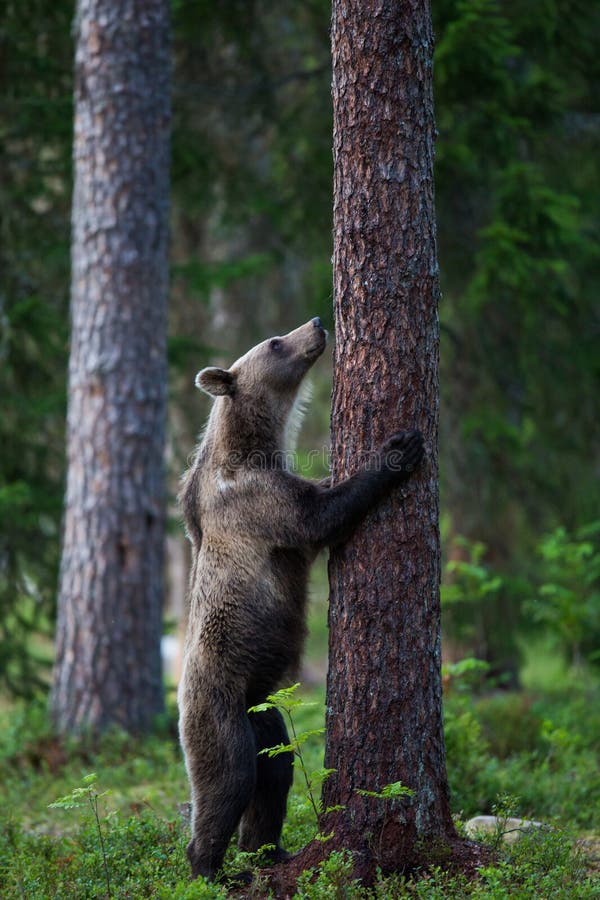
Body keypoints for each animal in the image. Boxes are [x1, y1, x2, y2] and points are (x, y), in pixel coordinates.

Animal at [178, 316, 423, 880]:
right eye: (273, 342)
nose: (314, 323)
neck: (252, 443)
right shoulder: (258, 502)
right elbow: (321, 513)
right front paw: (400, 447)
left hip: (263, 707)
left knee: (276, 767)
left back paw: (268, 851)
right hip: (218, 699)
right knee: (228, 778)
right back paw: (211, 867)